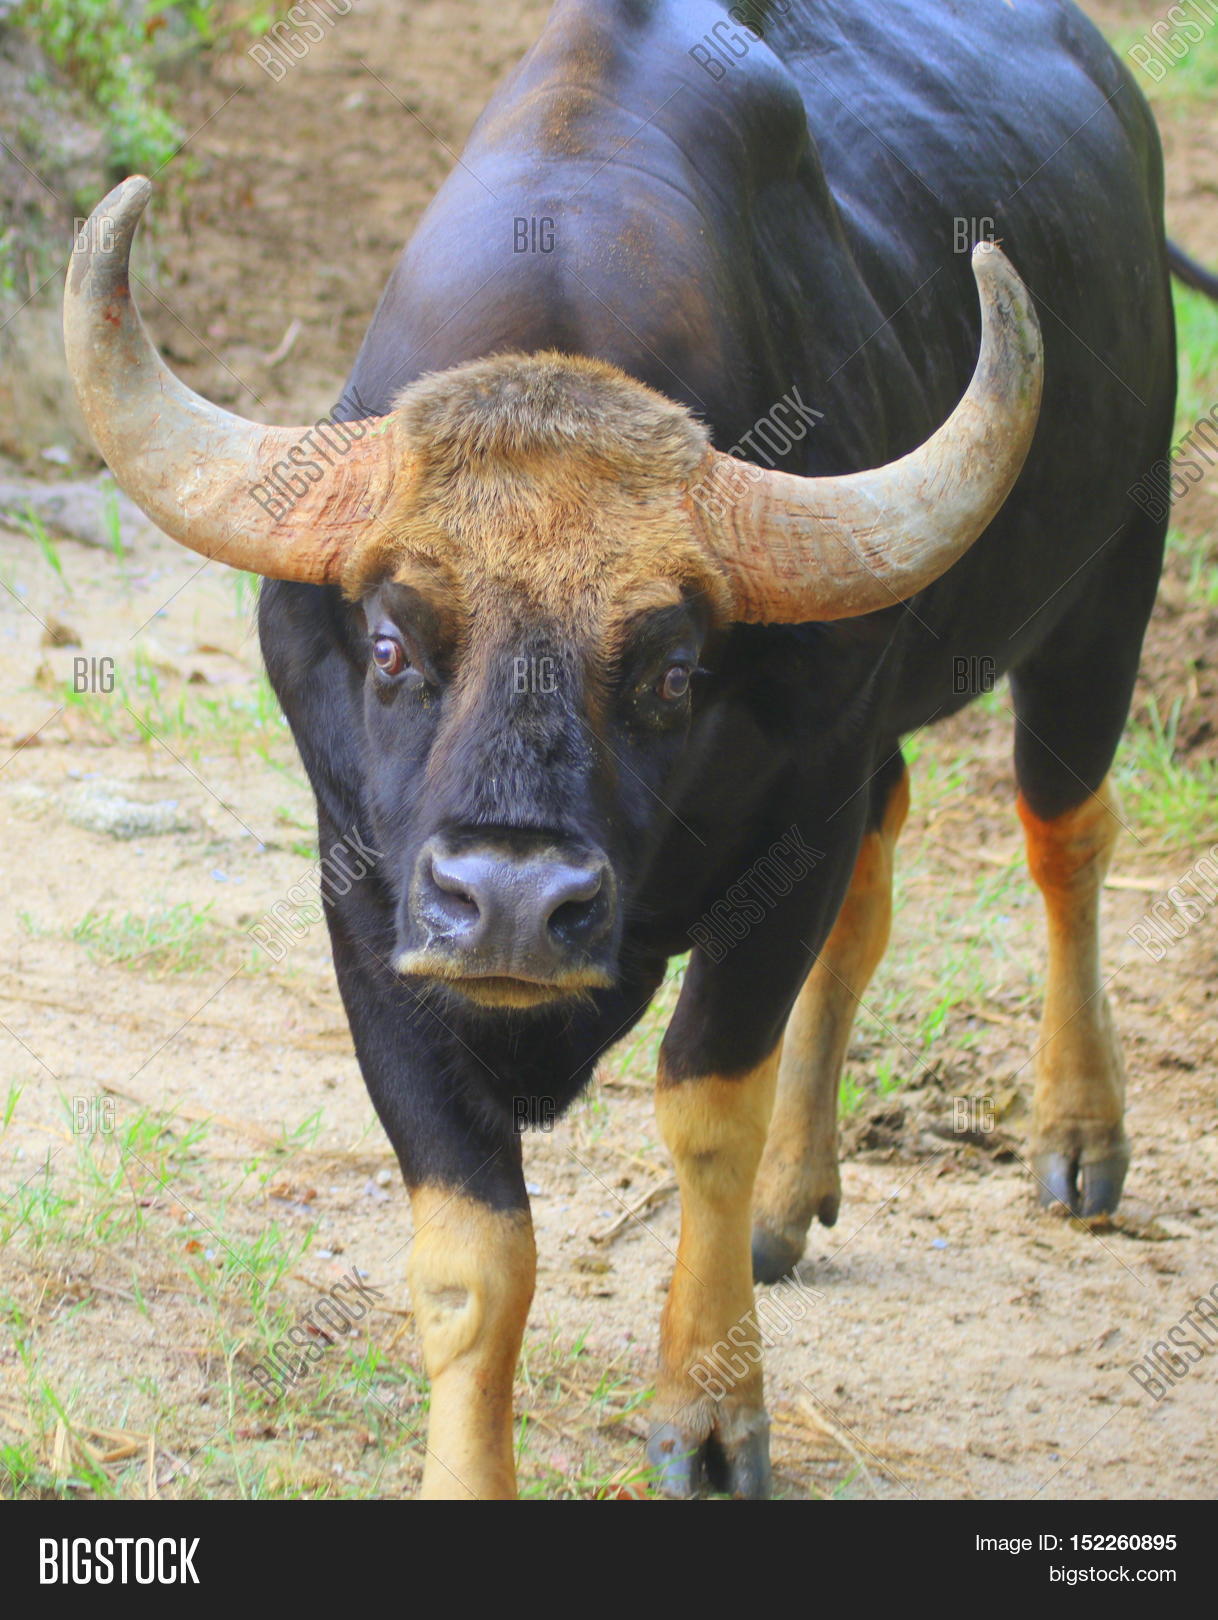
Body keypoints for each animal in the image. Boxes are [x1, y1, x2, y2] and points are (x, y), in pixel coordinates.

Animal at [64, 0, 1189, 1499]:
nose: (511, 905)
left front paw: (710, 1412)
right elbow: (473, 1254)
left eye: (667, 671)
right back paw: (797, 1198)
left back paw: (1076, 1136)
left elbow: (708, 1111)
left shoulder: (791, 828)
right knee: (880, 888)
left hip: (1107, 585)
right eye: (390, 645)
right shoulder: (366, 901)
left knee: (1065, 837)